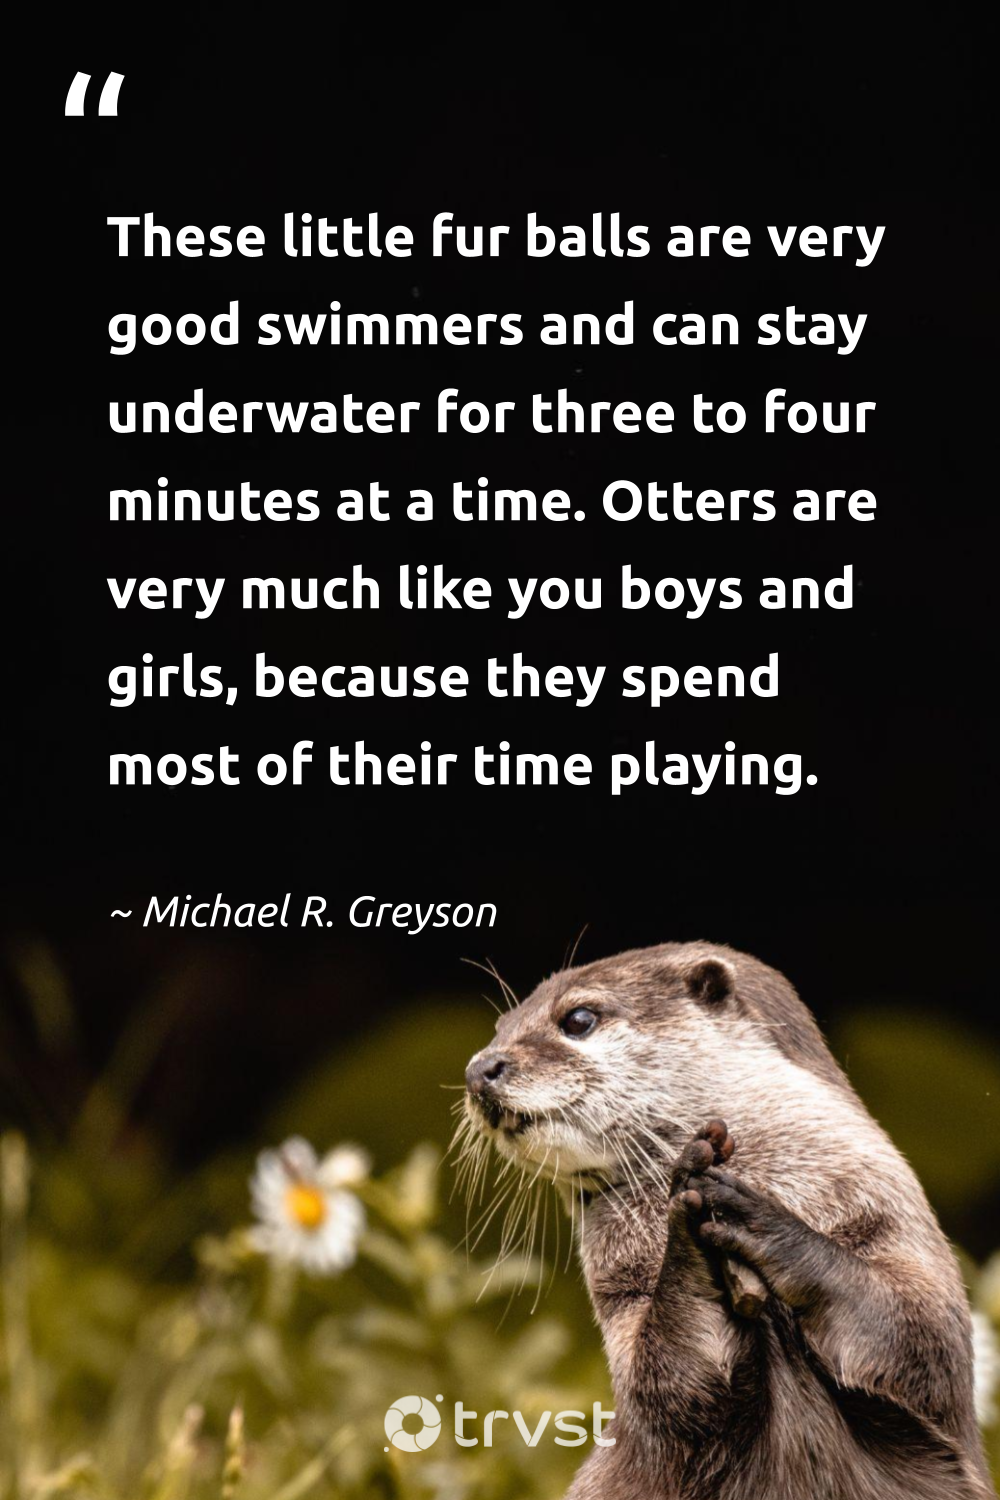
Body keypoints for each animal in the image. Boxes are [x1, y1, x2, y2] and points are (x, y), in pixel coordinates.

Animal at [459, 942, 994, 1499]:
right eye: (500, 1027)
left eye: (579, 1019)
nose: (480, 1069)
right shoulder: (623, 1295)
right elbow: (671, 1387)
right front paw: (690, 1230)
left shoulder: (887, 1210)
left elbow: (921, 1333)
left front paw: (762, 1223)